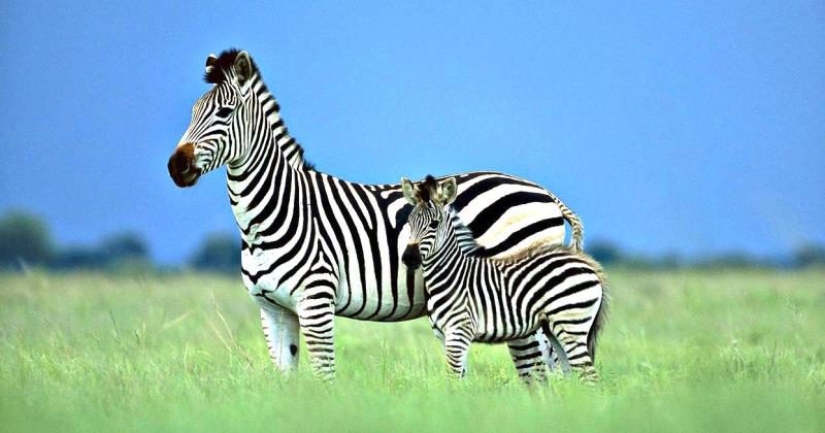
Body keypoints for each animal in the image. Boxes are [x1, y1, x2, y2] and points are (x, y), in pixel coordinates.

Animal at [167, 49, 585, 381]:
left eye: (224, 112)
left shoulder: (316, 301)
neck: (272, 214)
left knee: (544, 368)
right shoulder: (272, 309)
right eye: (192, 112)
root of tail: (546, 194)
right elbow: (286, 382)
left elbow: (324, 378)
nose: (176, 166)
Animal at [400, 175, 607, 381]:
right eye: (409, 223)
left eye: (434, 224)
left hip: (571, 324)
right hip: (555, 327)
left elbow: (452, 378)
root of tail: (590, 266)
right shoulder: (444, 334)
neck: (450, 275)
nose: (409, 258)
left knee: (588, 375)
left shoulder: (459, 330)